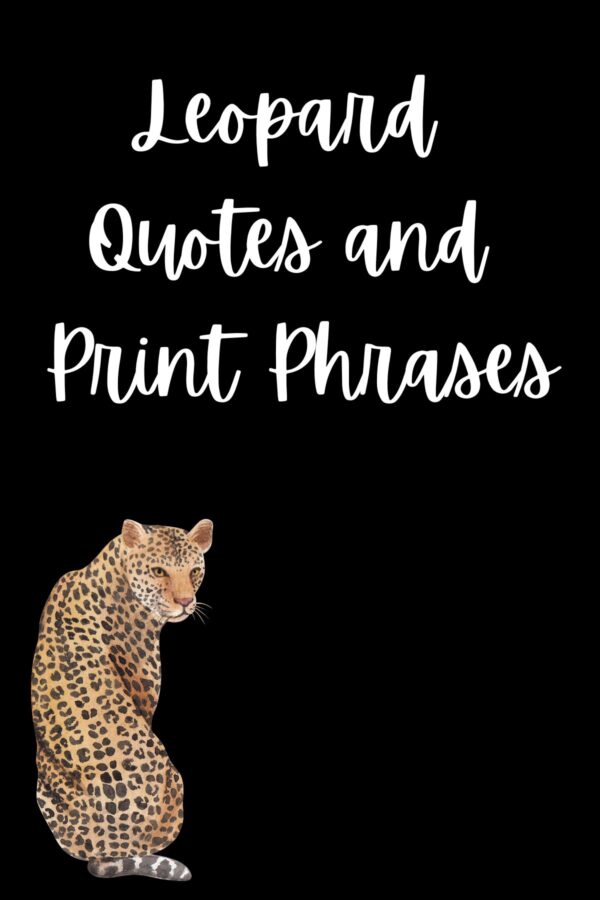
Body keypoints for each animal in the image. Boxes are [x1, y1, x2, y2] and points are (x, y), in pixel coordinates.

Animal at [31, 518, 213, 881]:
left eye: (195, 570)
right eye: (158, 571)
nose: (187, 601)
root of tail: (102, 850)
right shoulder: (143, 692)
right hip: (175, 781)